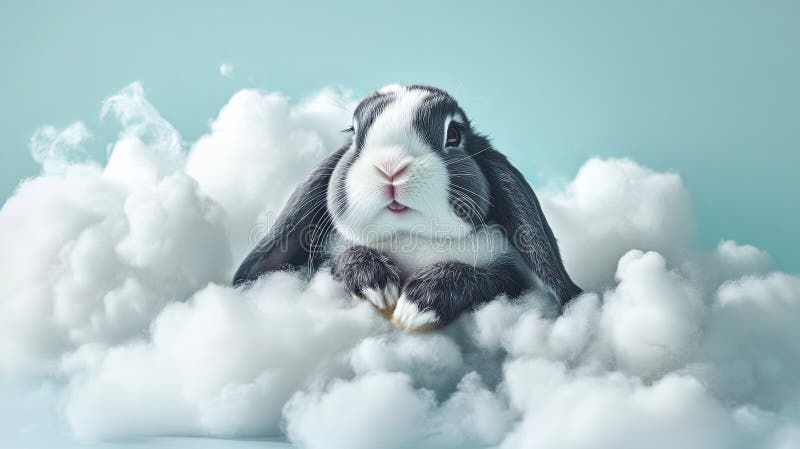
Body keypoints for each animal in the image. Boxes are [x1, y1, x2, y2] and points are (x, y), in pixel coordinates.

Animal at [233, 84, 583, 331]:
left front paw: (417, 304)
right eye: (354, 133)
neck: (411, 238)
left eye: (453, 134)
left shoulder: (511, 279)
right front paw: (376, 285)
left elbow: (484, 278)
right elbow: (344, 258)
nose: (390, 167)